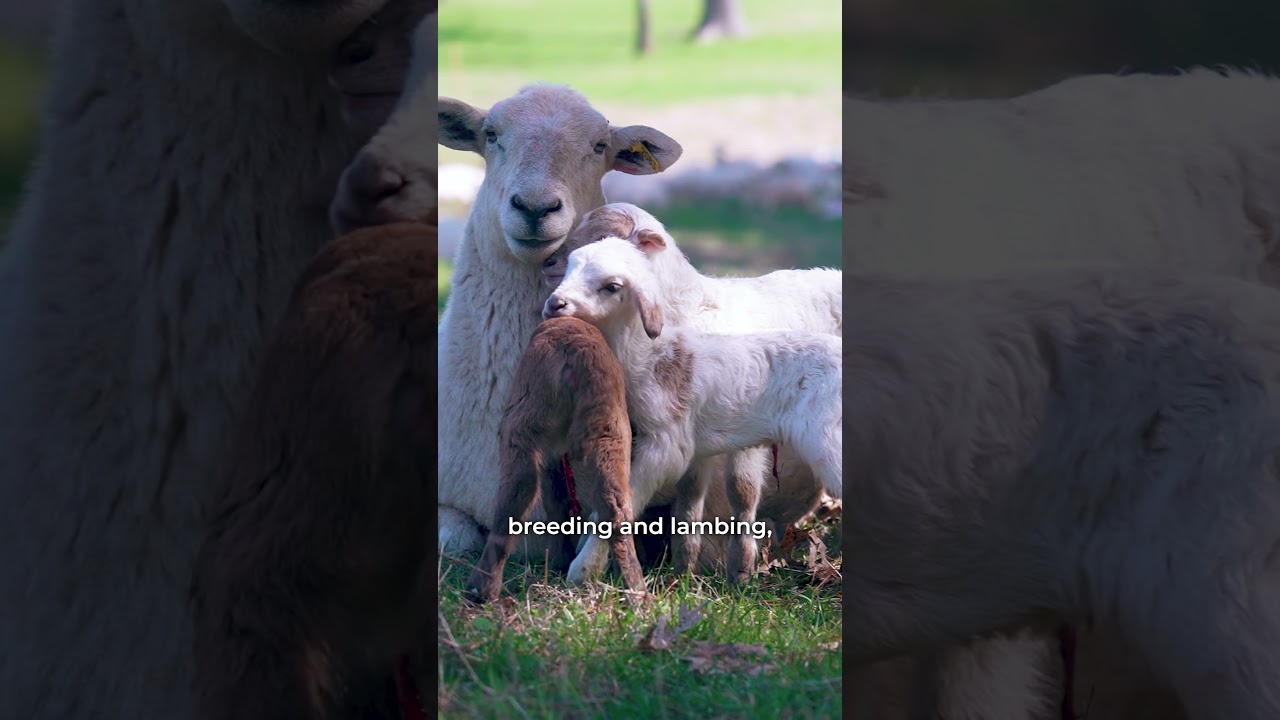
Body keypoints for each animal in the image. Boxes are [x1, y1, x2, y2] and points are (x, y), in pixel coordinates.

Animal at [463, 316, 646, 604]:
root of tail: (575, 354)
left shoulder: (548, 454)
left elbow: (553, 501)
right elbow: (559, 501)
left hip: (523, 427)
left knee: (514, 502)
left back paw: (479, 591)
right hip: (611, 431)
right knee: (617, 509)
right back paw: (637, 593)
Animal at [546, 202, 841, 581]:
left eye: (604, 236)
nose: (548, 264)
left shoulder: (737, 426)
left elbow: (741, 492)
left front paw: (740, 571)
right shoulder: (697, 435)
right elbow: (686, 499)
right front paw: (683, 570)